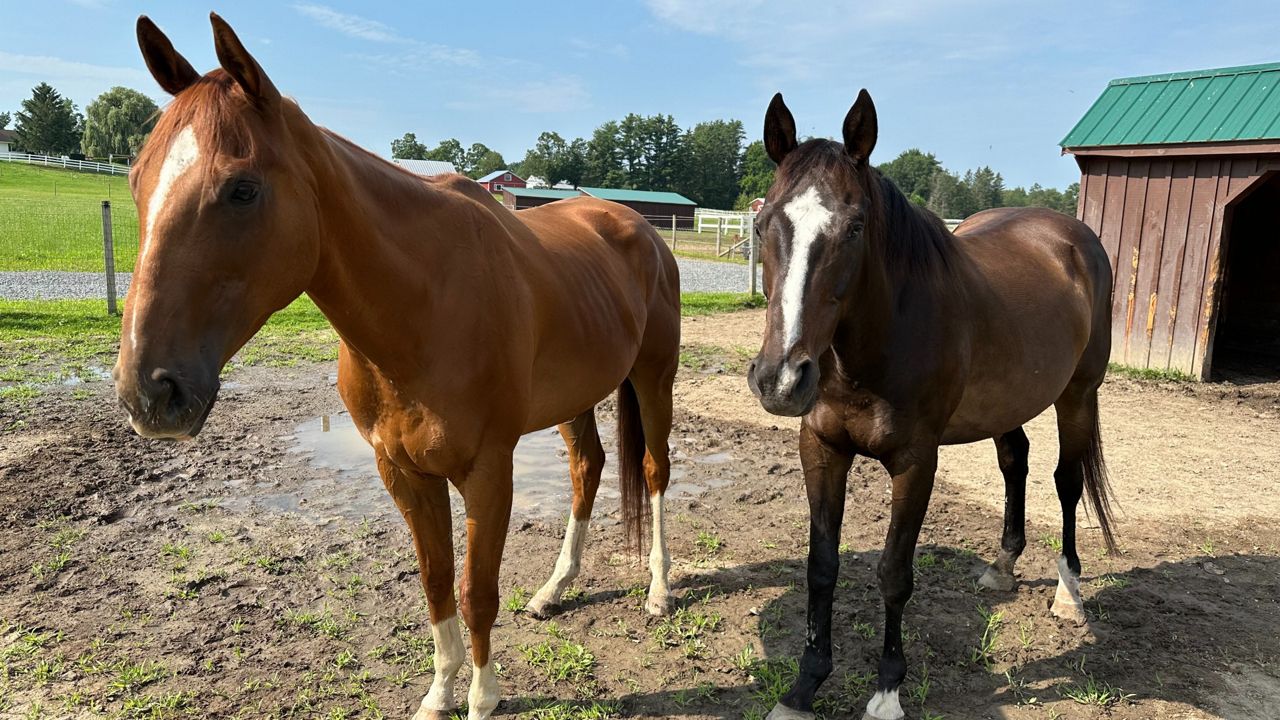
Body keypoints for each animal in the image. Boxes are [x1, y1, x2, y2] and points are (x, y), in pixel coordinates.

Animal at [114, 15, 680, 719]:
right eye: (136, 178)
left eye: (242, 188)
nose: (148, 391)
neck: (424, 302)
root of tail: (636, 225)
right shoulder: (402, 471)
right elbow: (437, 583)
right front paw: (440, 692)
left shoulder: (488, 470)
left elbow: (476, 590)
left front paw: (483, 697)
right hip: (576, 396)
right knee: (588, 468)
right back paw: (556, 588)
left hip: (653, 379)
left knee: (654, 471)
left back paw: (659, 590)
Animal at [746, 90, 1117, 720]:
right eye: (763, 220)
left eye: (855, 227)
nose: (781, 379)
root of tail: (1072, 236)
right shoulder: (820, 448)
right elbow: (821, 568)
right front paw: (803, 688)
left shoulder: (916, 462)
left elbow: (894, 573)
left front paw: (887, 692)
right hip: (1009, 403)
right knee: (1015, 462)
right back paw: (1002, 566)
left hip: (1078, 394)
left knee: (1067, 482)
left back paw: (1069, 593)